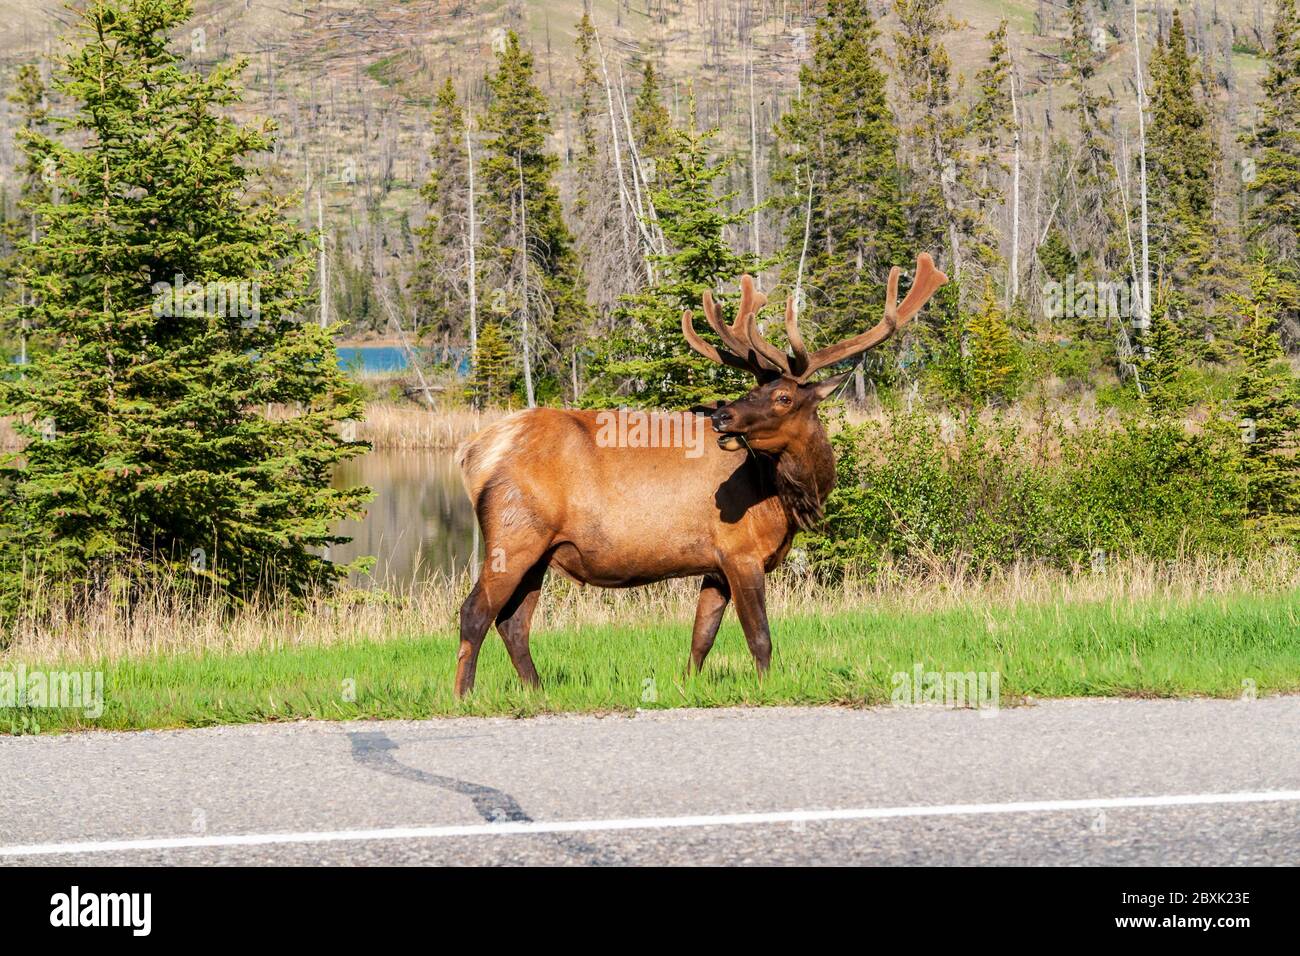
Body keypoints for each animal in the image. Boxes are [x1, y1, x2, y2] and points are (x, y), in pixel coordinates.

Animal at [453, 253, 947, 696]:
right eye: (757, 389)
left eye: (783, 396)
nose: (722, 416)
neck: (781, 496)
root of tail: (472, 451)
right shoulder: (740, 552)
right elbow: (759, 637)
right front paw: (767, 688)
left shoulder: (715, 563)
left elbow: (701, 637)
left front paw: (686, 686)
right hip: (515, 534)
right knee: (475, 611)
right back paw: (464, 693)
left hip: (541, 550)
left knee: (513, 620)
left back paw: (537, 690)